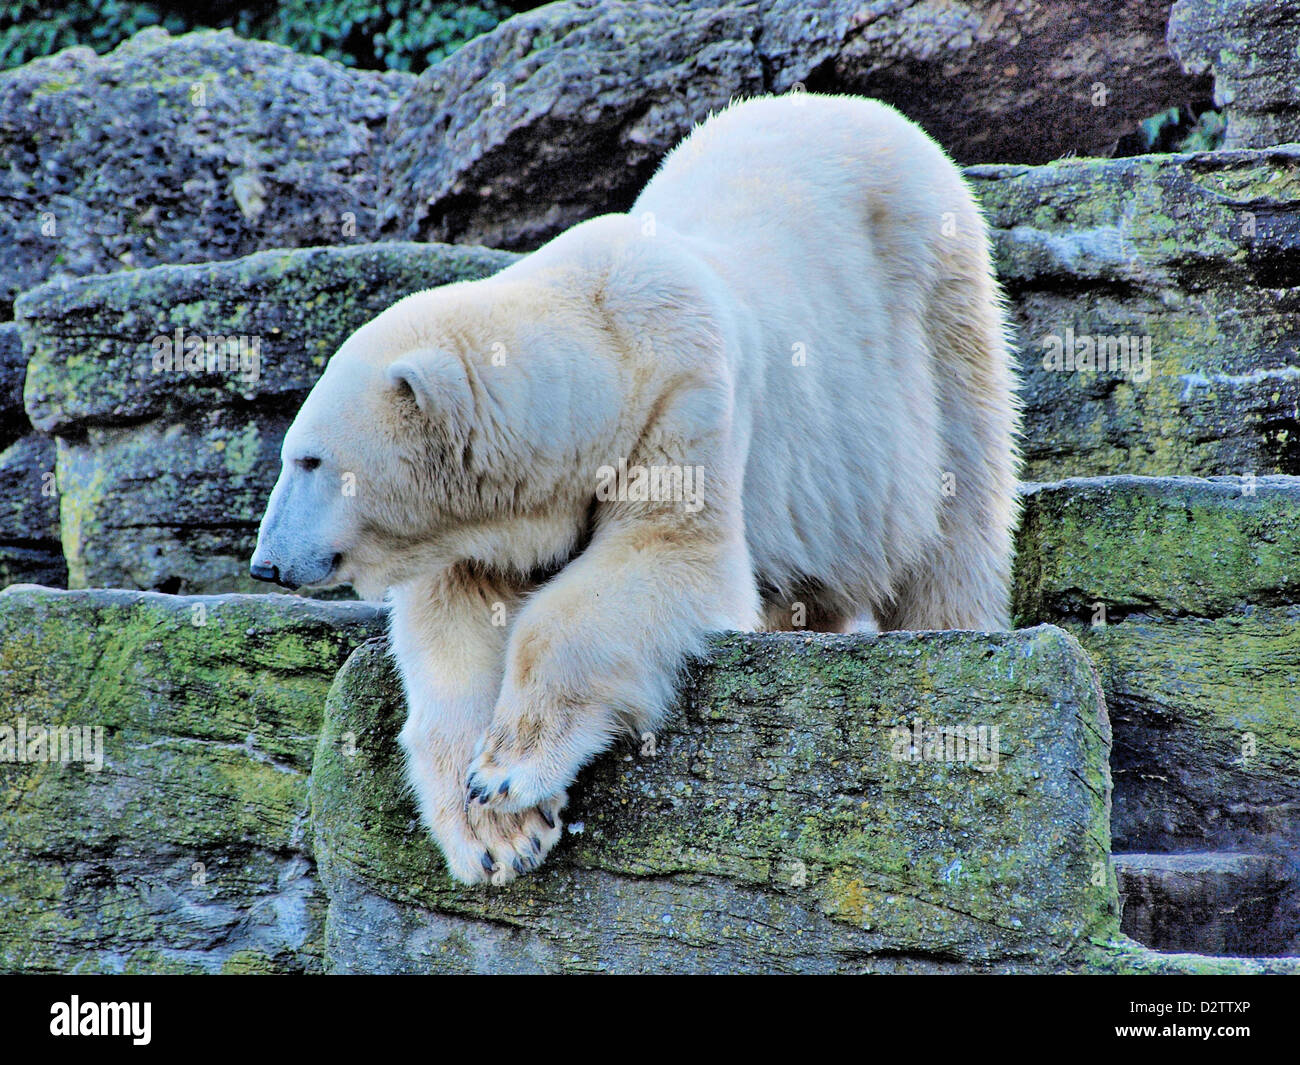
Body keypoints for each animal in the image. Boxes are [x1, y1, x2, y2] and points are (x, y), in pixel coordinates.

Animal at [250, 94, 1020, 886]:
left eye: (308, 460)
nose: (266, 563)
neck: (606, 331)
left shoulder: (686, 393)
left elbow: (663, 554)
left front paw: (511, 771)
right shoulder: (494, 516)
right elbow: (456, 610)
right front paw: (494, 834)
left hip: (935, 302)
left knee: (960, 497)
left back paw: (956, 620)